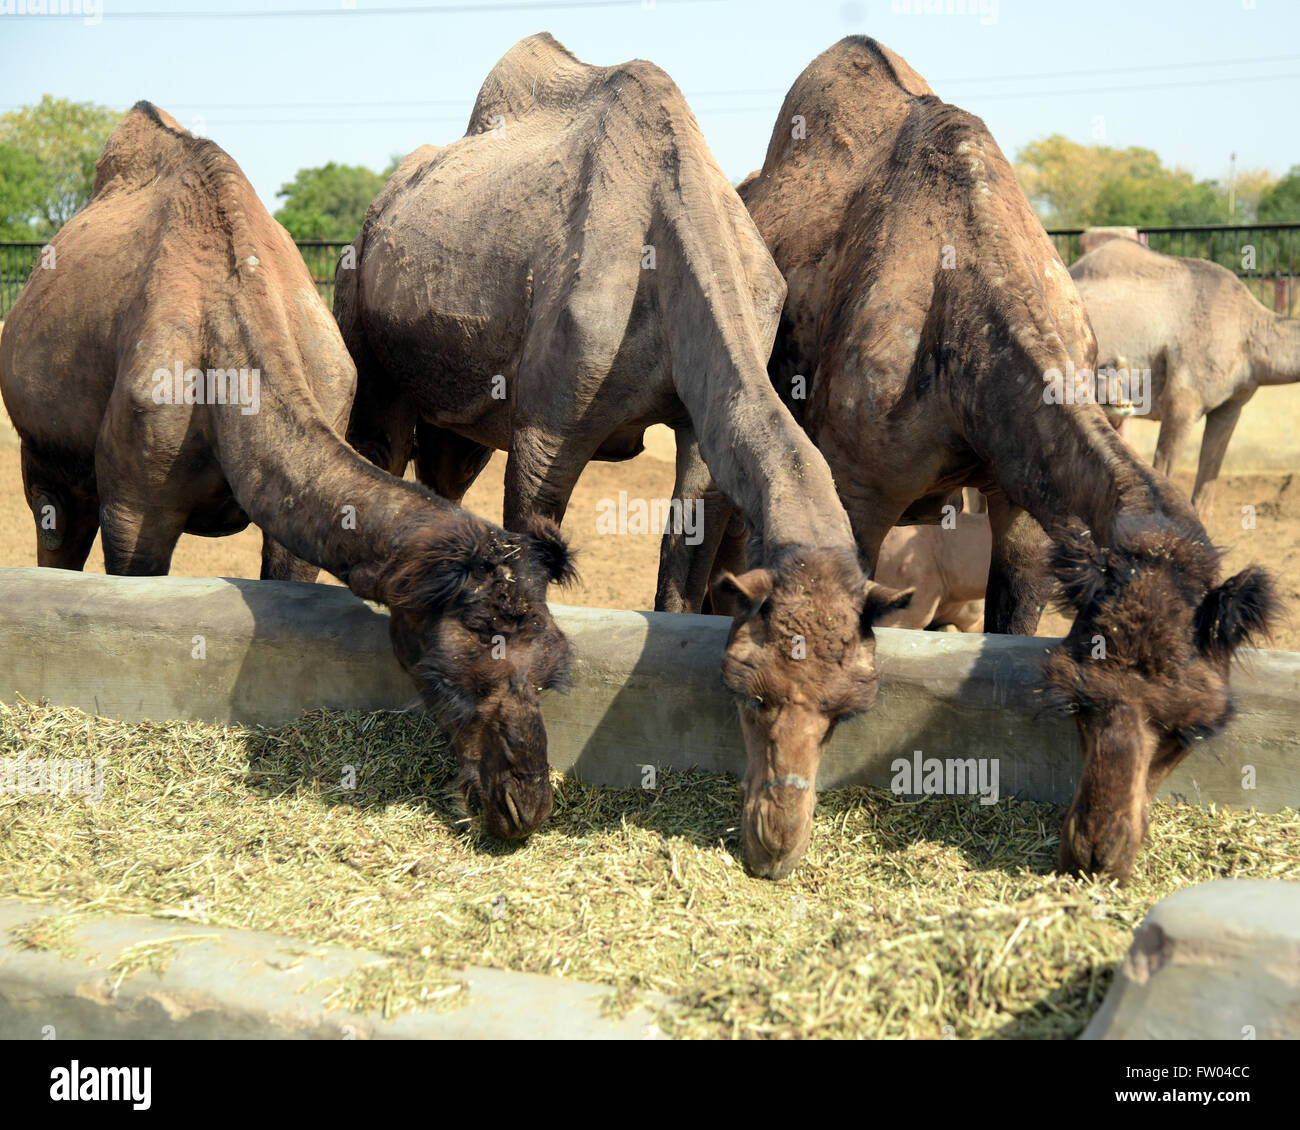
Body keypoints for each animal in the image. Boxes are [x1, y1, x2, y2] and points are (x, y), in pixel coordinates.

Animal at [0, 102, 577, 841]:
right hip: (42, 457)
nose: (524, 804)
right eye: (456, 665)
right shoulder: (135, 506)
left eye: (551, 667)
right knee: (56, 533)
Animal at [335, 33, 911, 880]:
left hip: (457, 417)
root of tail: (380, 209)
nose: (775, 846)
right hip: (370, 344)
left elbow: (680, 574)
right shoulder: (548, 422)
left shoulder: (701, 426)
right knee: (369, 454)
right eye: (751, 692)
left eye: (850, 707)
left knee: (442, 478)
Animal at [719, 37, 1276, 882]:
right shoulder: (858, 486)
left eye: (1195, 724)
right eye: (1078, 697)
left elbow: (1010, 616)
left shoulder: (1022, 496)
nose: (1097, 851)